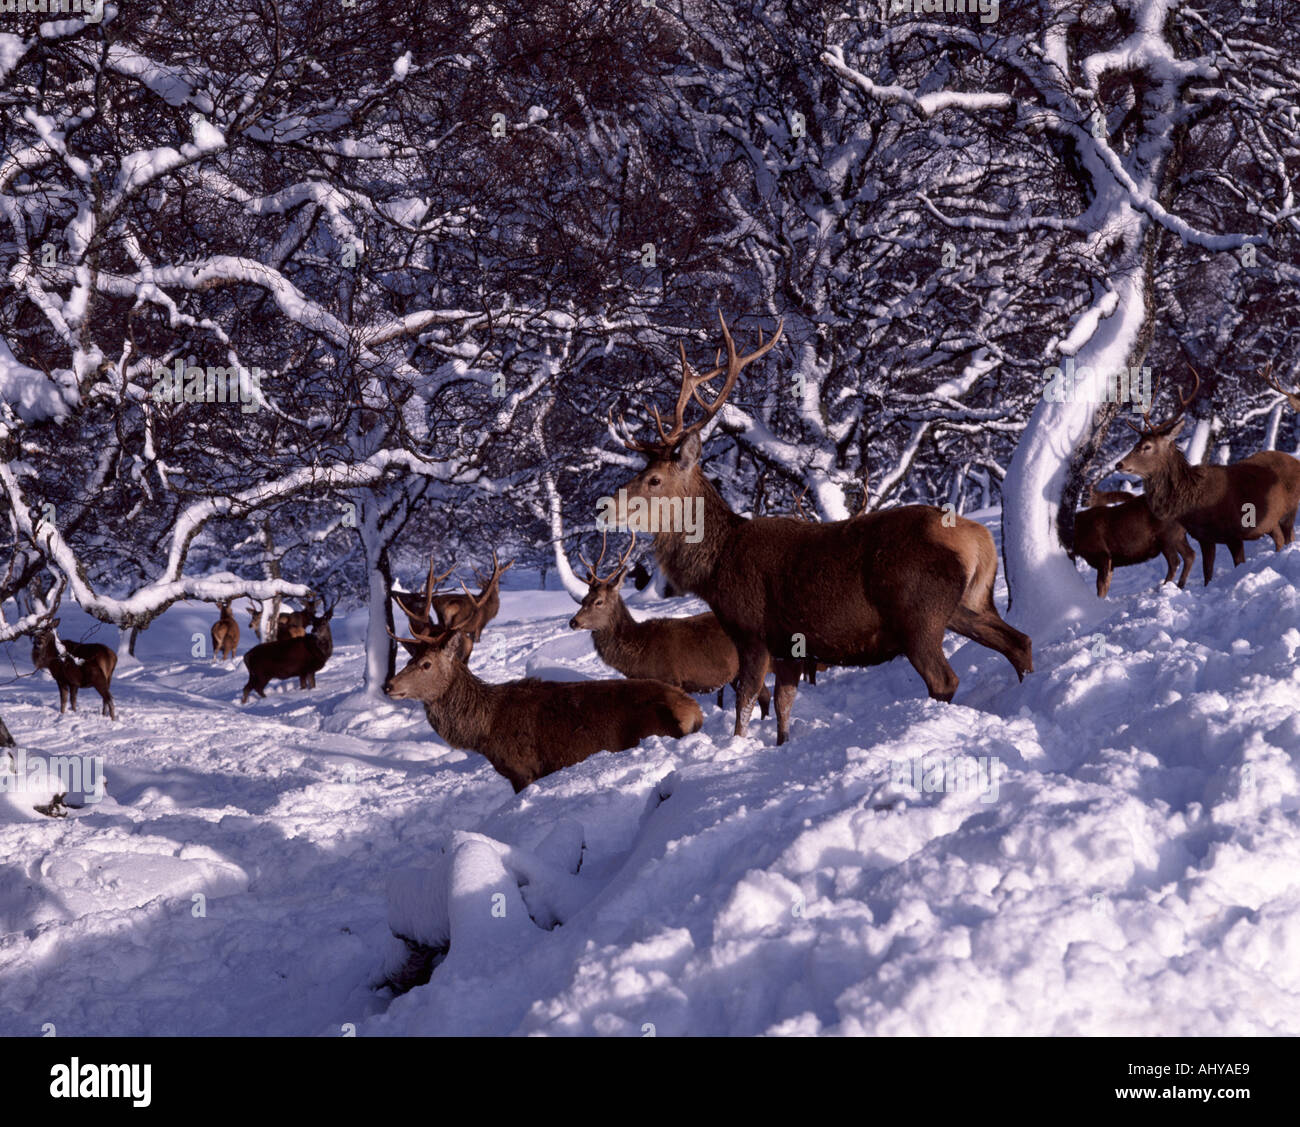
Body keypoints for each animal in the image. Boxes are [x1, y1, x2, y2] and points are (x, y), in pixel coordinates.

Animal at [383, 601, 705, 794]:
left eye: (426, 664)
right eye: (410, 659)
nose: (388, 685)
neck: (484, 729)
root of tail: (694, 711)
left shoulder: (523, 770)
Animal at [567, 533, 771, 718]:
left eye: (599, 601)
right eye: (583, 599)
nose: (573, 622)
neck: (638, 656)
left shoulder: (670, 678)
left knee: (763, 696)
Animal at [609, 310, 1033, 745]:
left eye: (654, 479)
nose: (607, 506)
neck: (715, 569)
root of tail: (978, 538)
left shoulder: (753, 631)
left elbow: (746, 700)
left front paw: (737, 746)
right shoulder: (789, 646)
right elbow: (783, 706)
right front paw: (781, 745)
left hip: (919, 612)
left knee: (945, 679)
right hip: (969, 603)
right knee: (1019, 641)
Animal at [1116, 366, 1300, 585]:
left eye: (1147, 446)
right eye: (1136, 444)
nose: (1119, 464)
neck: (1195, 502)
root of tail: (1295, 462)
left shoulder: (1234, 533)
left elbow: (1238, 564)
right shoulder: (1205, 537)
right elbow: (1207, 574)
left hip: (1290, 509)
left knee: (1288, 538)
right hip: (1271, 522)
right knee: (1281, 539)